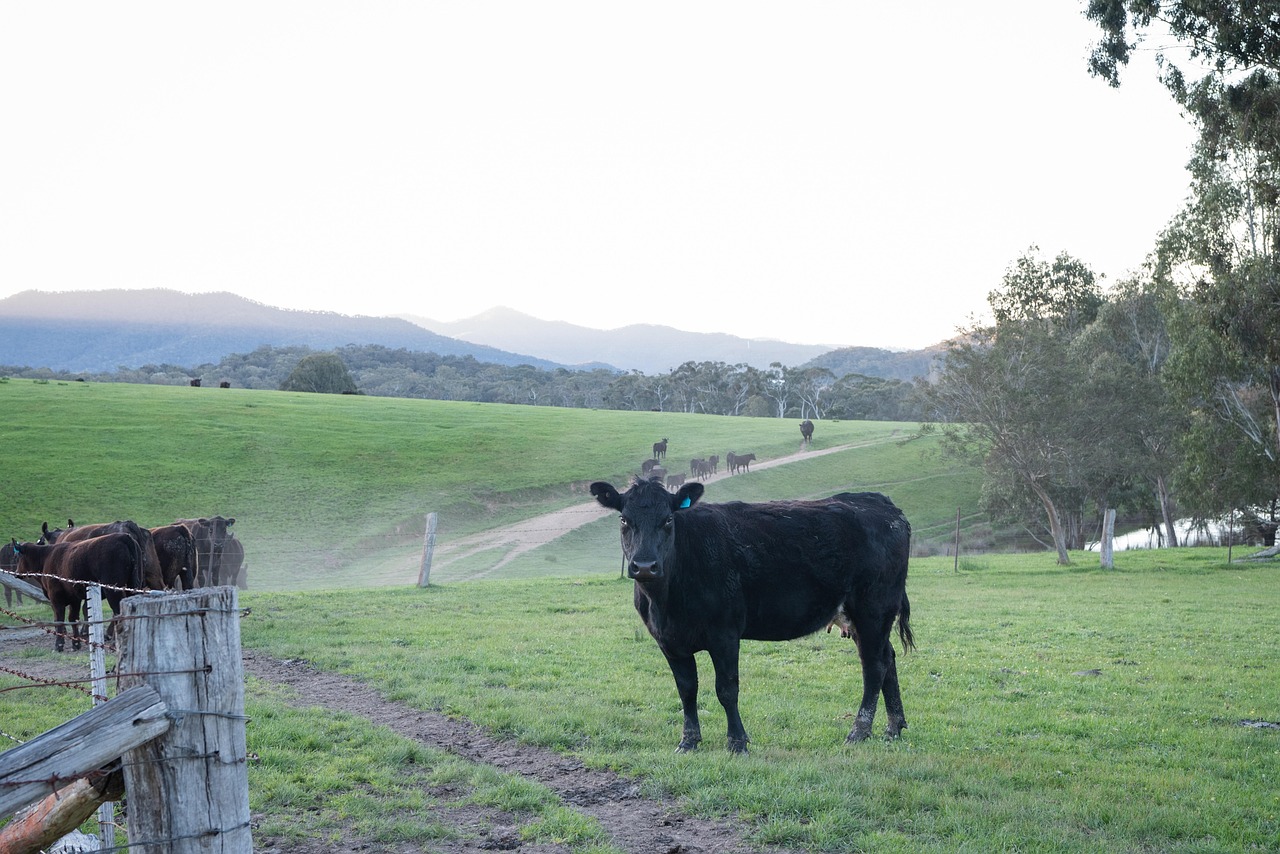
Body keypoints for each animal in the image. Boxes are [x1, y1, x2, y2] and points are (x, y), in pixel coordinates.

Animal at [11, 533, 143, 652]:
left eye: (17, 557)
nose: (16, 573)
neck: (45, 558)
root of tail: (123, 536)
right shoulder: (74, 598)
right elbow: (73, 618)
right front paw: (76, 643)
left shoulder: (56, 597)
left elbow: (59, 619)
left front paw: (59, 645)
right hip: (131, 588)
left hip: (113, 590)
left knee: (117, 613)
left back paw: (116, 643)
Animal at [590, 476, 914, 753]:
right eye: (623, 519)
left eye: (668, 519)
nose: (644, 566)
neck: (666, 602)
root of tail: (882, 504)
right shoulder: (668, 641)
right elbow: (687, 690)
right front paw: (689, 741)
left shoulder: (725, 633)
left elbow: (726, 689)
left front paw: (737, 742)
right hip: (864, 617)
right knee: (888, 659)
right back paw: (893, 728)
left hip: (874, 609)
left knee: (874, 667)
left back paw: (859, 732)